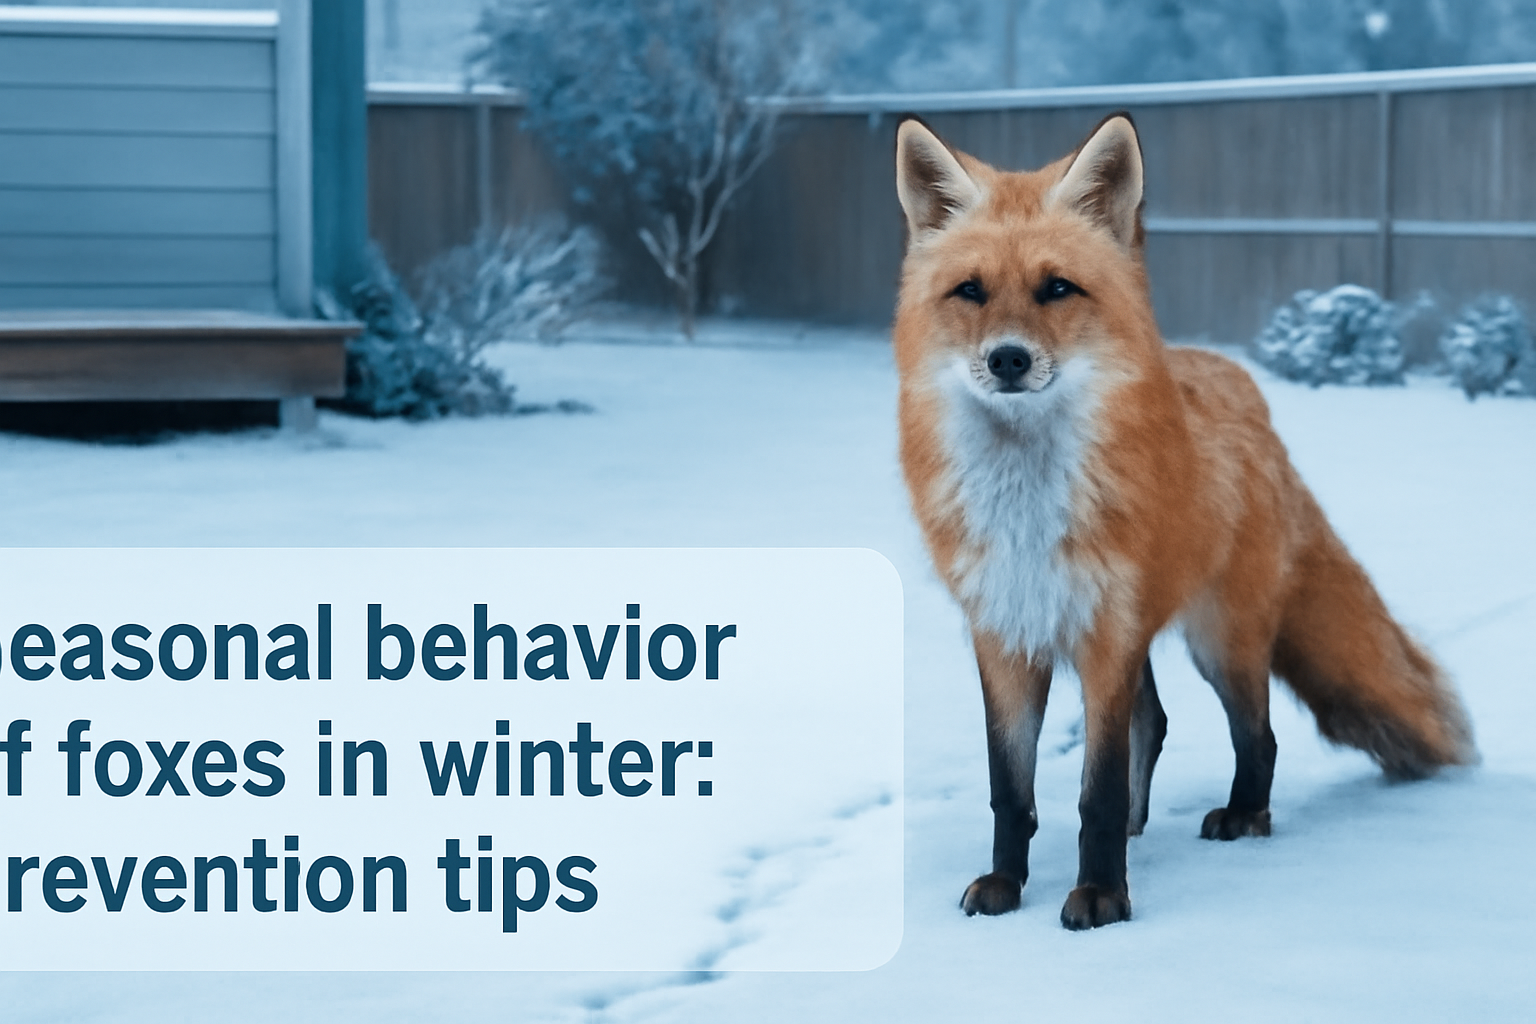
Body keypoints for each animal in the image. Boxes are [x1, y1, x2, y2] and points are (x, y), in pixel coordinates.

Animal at [891, 112, 1476, 930]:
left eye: (1057, 289)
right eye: (970, 291)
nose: (1007, 359)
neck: (1027, 505)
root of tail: (1244, 391)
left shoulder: (1105, 632)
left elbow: (1096, 792)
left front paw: (1101, 897)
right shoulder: (1006, 632)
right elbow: (1012, 790)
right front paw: (1008, 884)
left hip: (1220, 640)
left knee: (1258, 735)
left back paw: (1246, 818)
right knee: (1158, 720)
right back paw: (1148, 825)